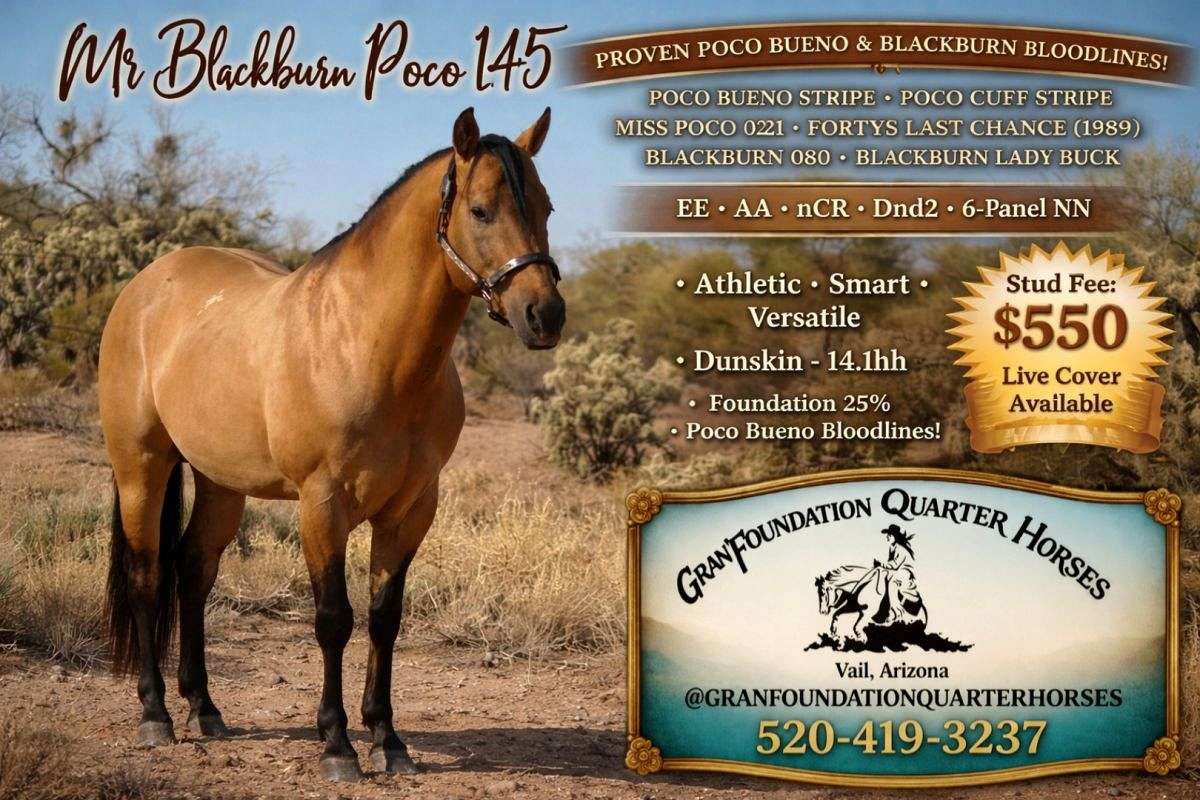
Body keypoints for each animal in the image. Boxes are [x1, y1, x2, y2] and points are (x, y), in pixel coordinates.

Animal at [96, 107, 564, 781]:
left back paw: (204, 708)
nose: (544, 316)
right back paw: (156, 715)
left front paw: (388, 740)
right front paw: (338, 744)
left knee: (193, 569)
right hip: (142, 466)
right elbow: (333, 620)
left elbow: (384, 618)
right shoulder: (323, 505)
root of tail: (145, 286)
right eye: (480, 210)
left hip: (220, 483)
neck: (365, 344)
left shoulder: (411, 508)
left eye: (547, 206)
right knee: (146, 574)